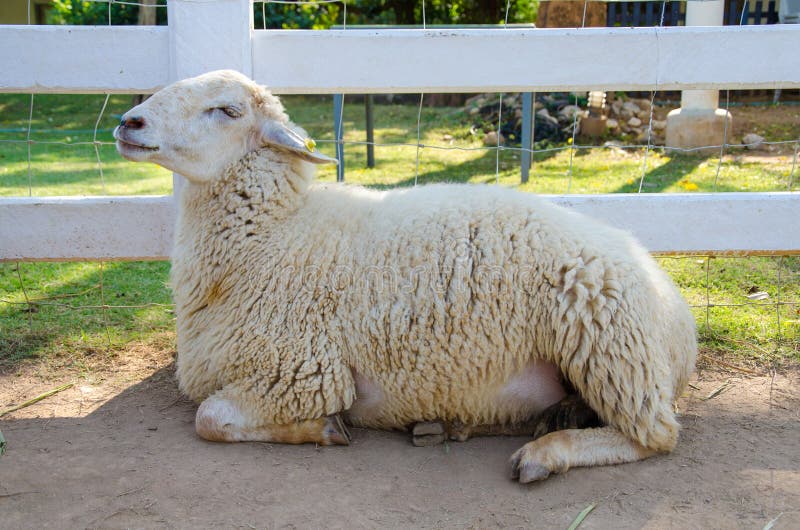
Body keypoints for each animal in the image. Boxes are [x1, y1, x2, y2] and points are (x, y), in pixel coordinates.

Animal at [114, 70, 697, 483]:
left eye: (227, 110)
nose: (129, 123)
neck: (274, 238)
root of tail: (680, 318)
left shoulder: (305, 371)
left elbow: (209, 418)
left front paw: (323, 428)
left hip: (612, 351)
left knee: (655, 437)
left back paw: (545, 454)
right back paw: (456, 425)